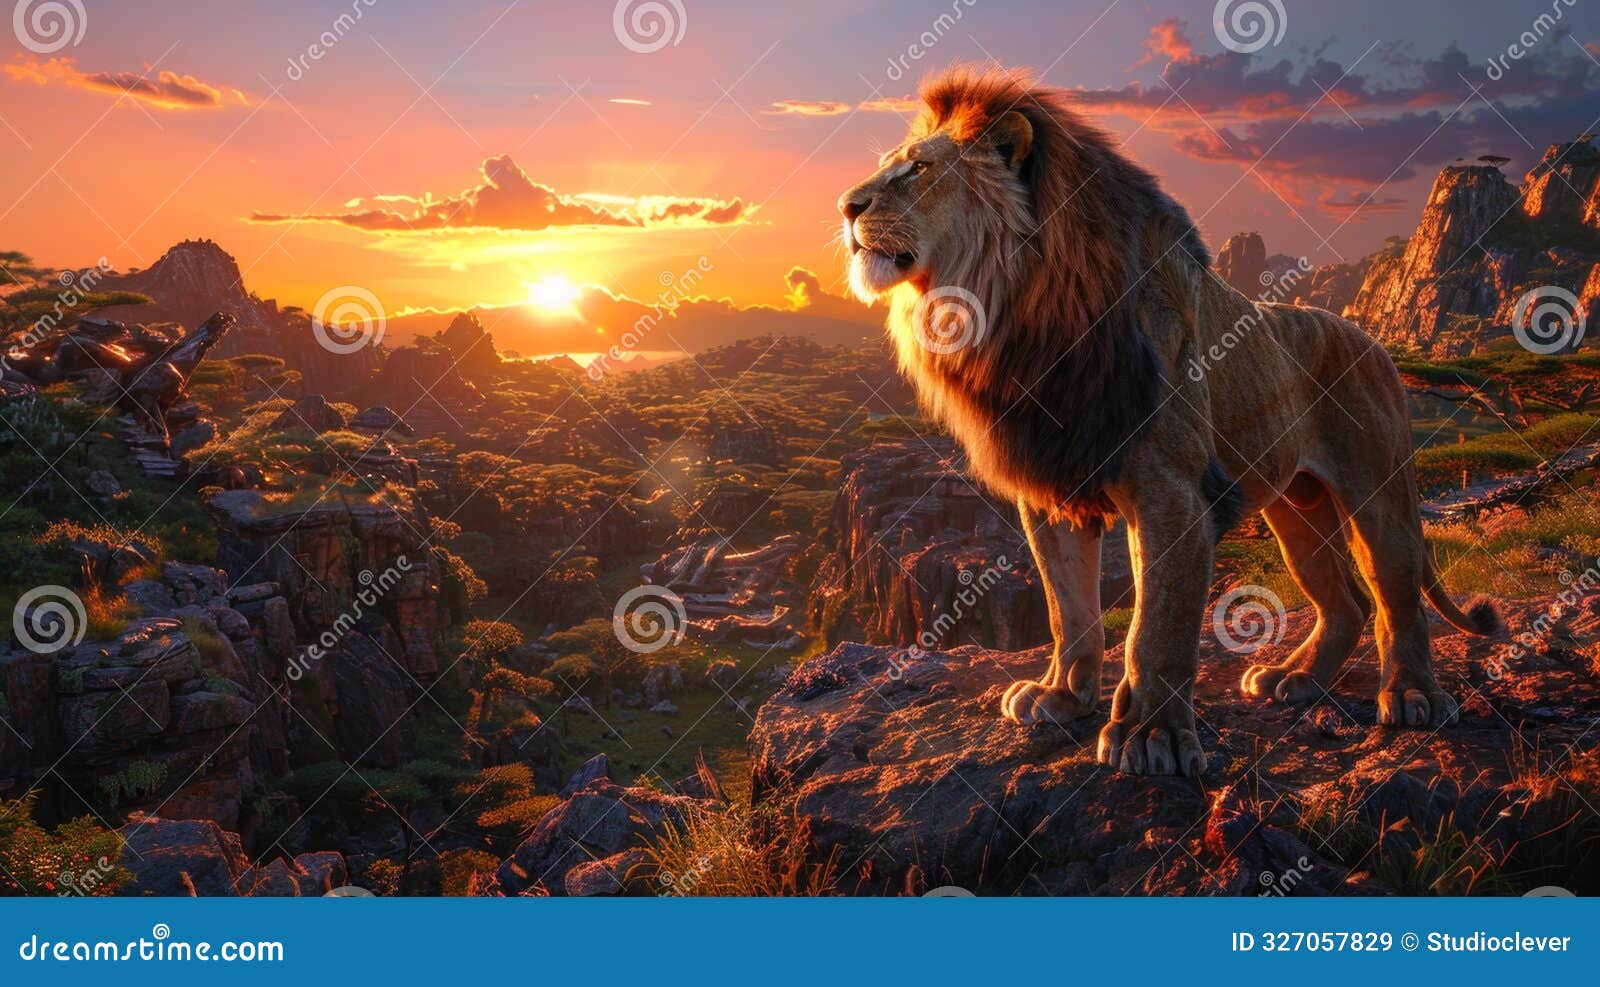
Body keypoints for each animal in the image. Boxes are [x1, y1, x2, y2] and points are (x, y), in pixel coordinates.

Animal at [838, 66, 1498, 777]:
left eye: (918, 169)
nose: (845, 206)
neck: (1023, 315)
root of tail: (1371, 338)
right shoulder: (1049, 484)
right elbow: (1068, 608)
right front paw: (1060, 695)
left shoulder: (1171, 491)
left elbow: (1157, 627)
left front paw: (1152, 735)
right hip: (1295, 507)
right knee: (1343, 602)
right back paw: (1293, 680)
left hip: (1379, 490)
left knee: (1396, 596)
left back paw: (1410, 695)